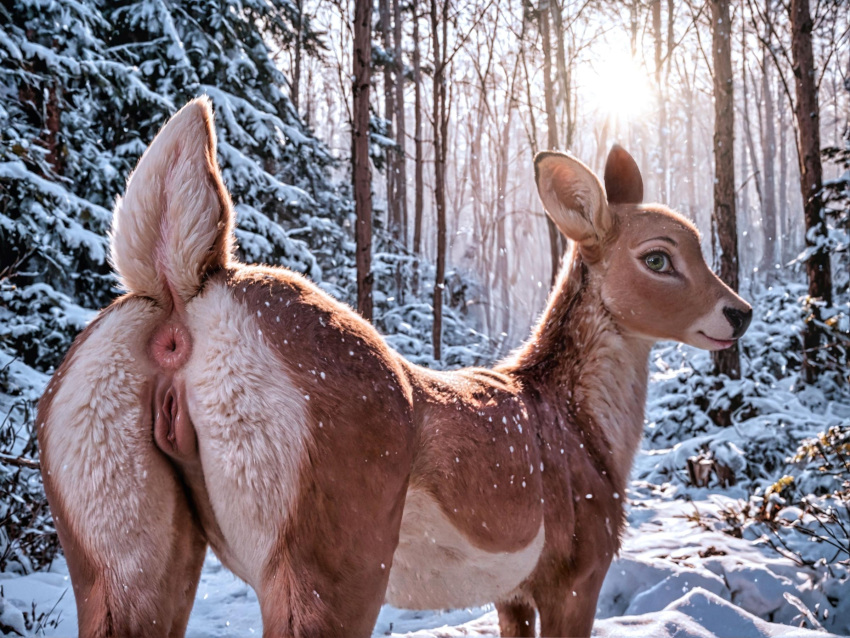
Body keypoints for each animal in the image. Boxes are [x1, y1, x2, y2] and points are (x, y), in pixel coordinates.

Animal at [36, 98, 752, 638]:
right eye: (658, 257)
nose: (738, 313)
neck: (580, 424)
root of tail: (182, 291)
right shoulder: (576, 573)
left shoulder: (513, 593)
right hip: (330, 555)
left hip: (114, 545)